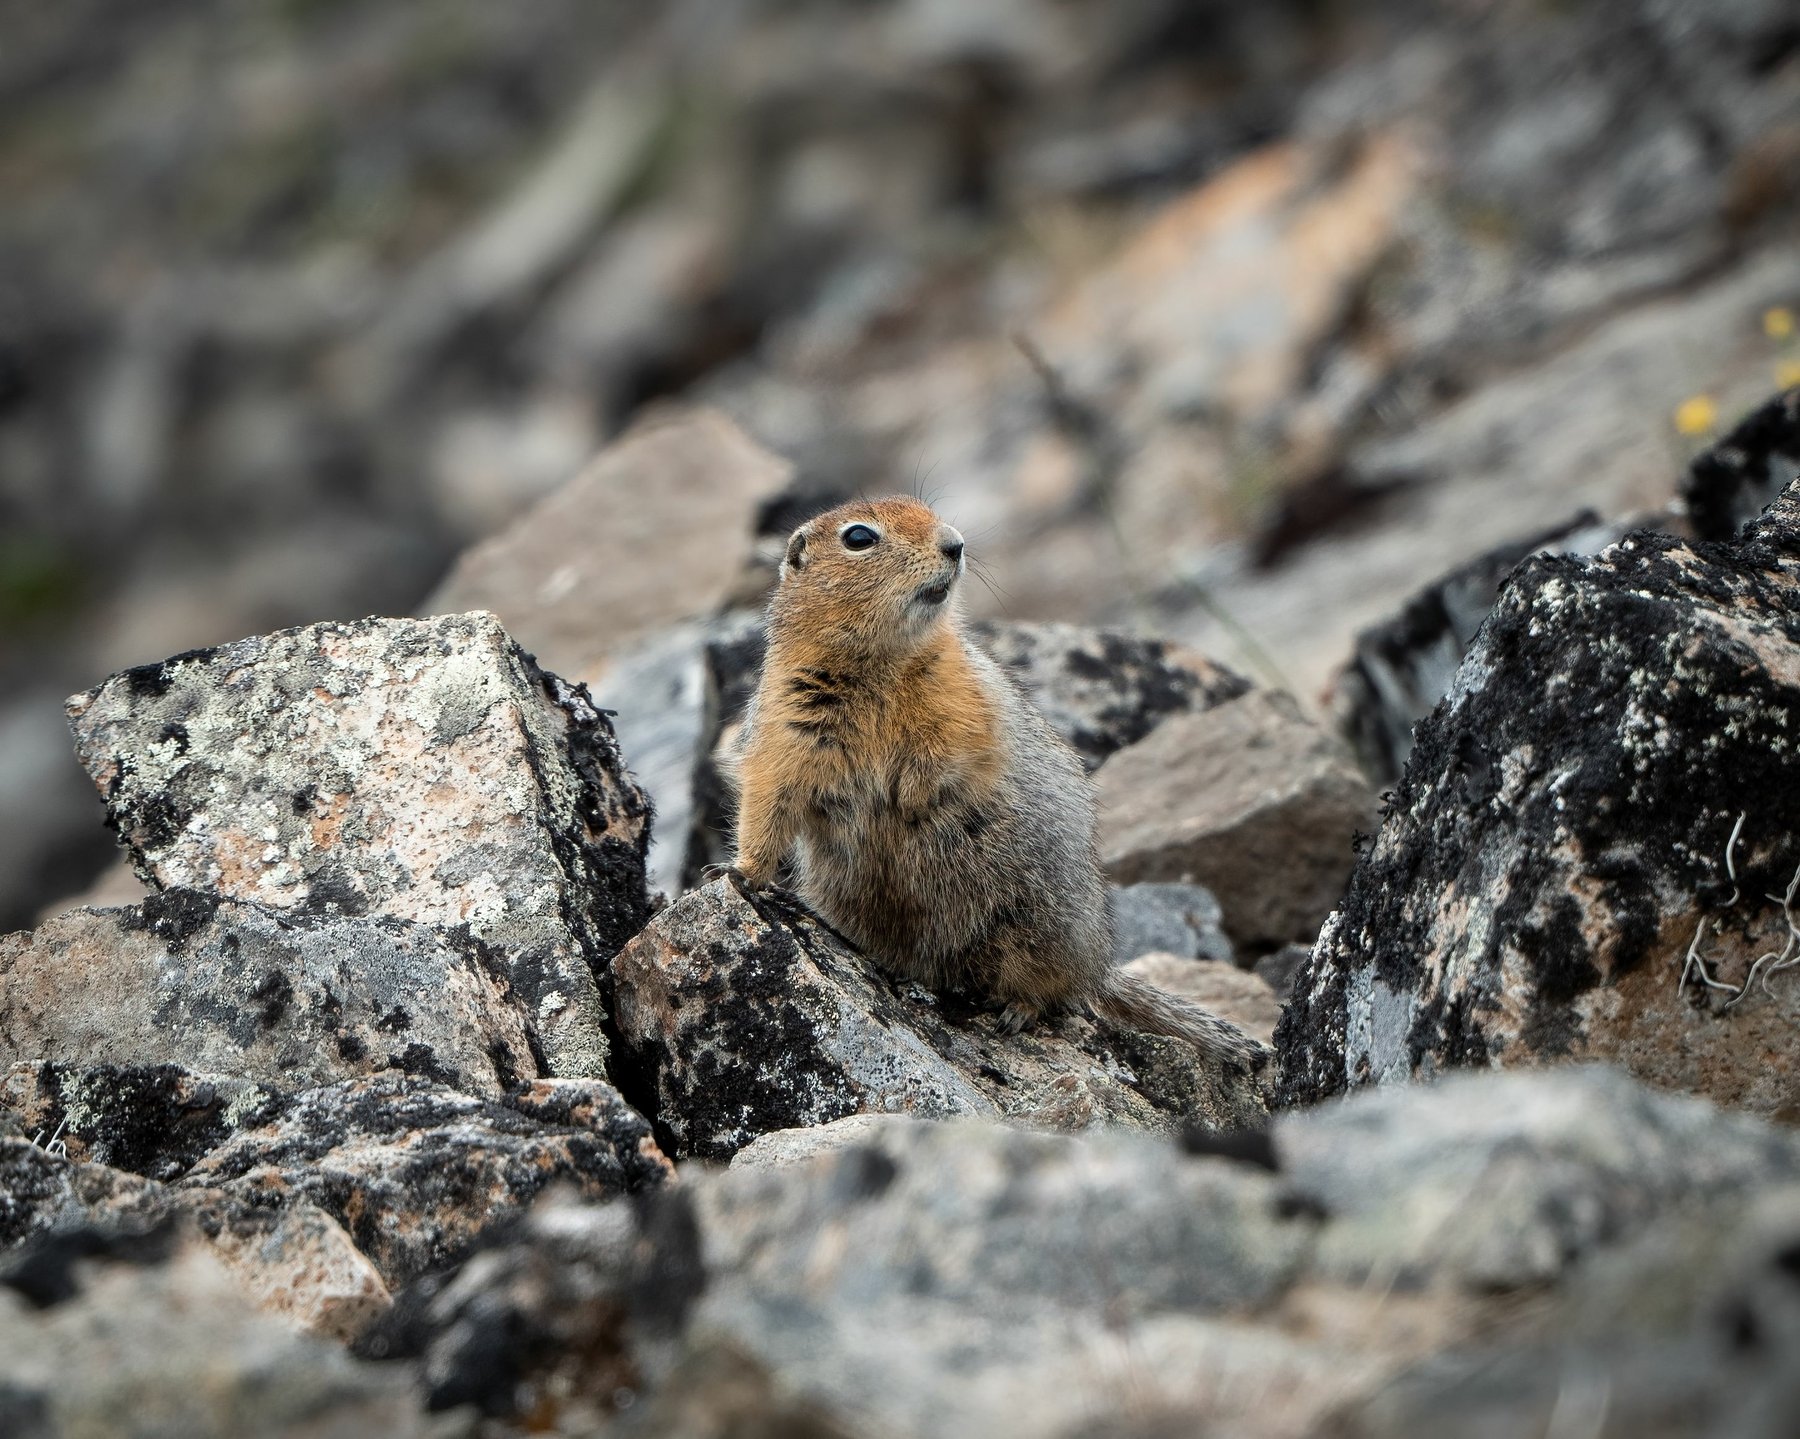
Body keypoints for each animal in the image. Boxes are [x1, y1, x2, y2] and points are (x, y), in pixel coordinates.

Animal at [722, 496, 1268, 1071]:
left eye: (928, 510)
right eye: (859, 537)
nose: (955, 543)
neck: (879, 660)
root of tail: (1100, 962)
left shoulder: (960, 686)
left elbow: (955, 742)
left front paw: (910, 799)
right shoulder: (788, 716)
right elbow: (769, 793)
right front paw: (742, 873)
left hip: (1037, 921)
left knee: (1052, 986)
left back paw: (1017, 1010)